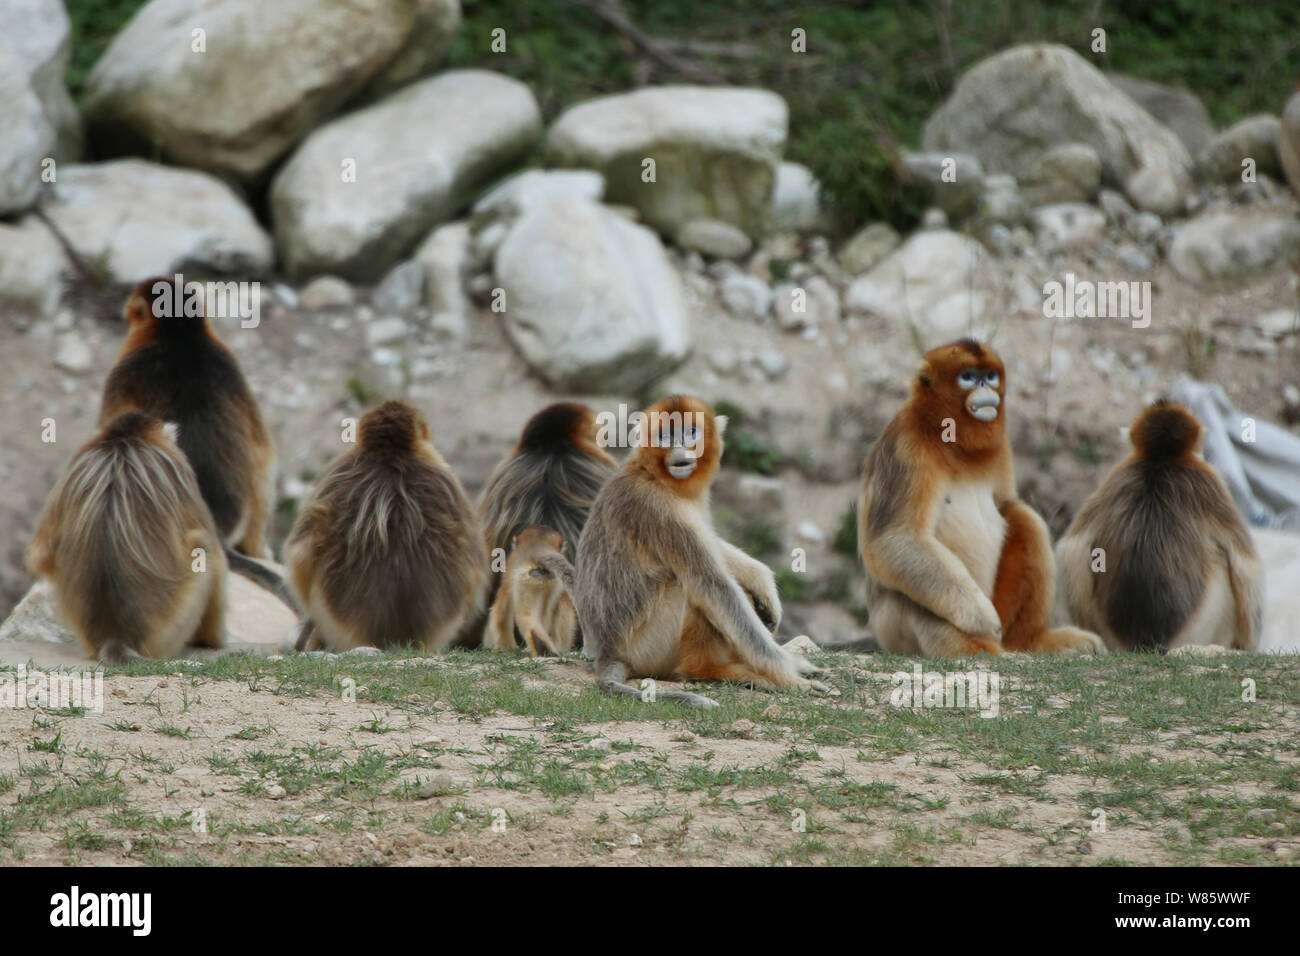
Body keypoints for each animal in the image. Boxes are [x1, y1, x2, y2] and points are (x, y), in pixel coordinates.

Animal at [25, 412, 227, 663]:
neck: (122, 440)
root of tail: (116, 636)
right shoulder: (178, 467)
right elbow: (215, 554)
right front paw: (215, 641)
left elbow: (40, 555)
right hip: (167, 630)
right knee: (204, 545)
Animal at [575, 395, 829, 707]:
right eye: (665, 435)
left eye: (690, 432)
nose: (680, 449)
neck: (655, 477)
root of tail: (608, 652)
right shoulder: (657, 509)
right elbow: (715, 587)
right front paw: (790, 676)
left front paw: (761, 581)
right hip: (647, 647)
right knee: (693, 591)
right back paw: (714, 670)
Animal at [858, 339, 1104, 657]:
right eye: (968, 377)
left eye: (989, 375)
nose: (985, 386)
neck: (947, 437)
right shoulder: (906, 446)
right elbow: (894, 538)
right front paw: (980, 617)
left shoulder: (999, 446)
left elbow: (1006, 505)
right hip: (891, 630)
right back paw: (979, 649)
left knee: (1023, 517)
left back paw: (1033, 640)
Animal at [1055, 401, 1263, 652]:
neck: (1160, 459)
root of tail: (1146, 642)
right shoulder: (1210, 482)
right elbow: (1245, 563)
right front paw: (1248, 645)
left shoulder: (1116, 477)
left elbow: (1072, 547)